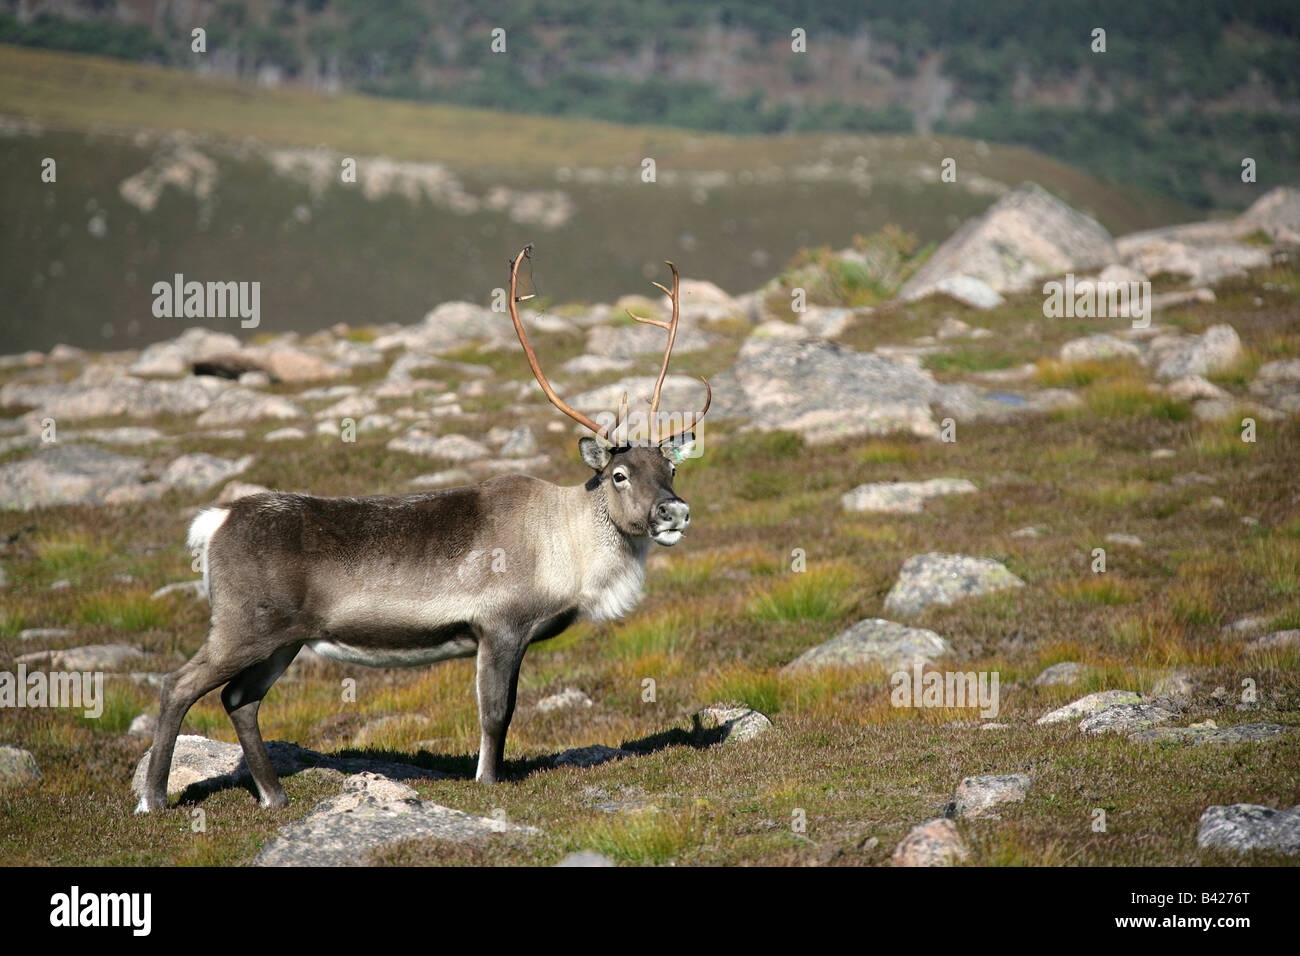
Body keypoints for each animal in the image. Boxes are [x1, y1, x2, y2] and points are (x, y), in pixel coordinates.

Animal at [135, 244, 711, 812]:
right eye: (619, 474)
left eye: (672, 469)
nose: (674, 512)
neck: (565, 542)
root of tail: (216, 521)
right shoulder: (499, 627)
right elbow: (496, 713)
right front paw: (487, 783)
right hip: (241, 626)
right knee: (178, 685)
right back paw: (155, 800)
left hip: (283, 640)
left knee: (239, 699)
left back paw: (273, 796)